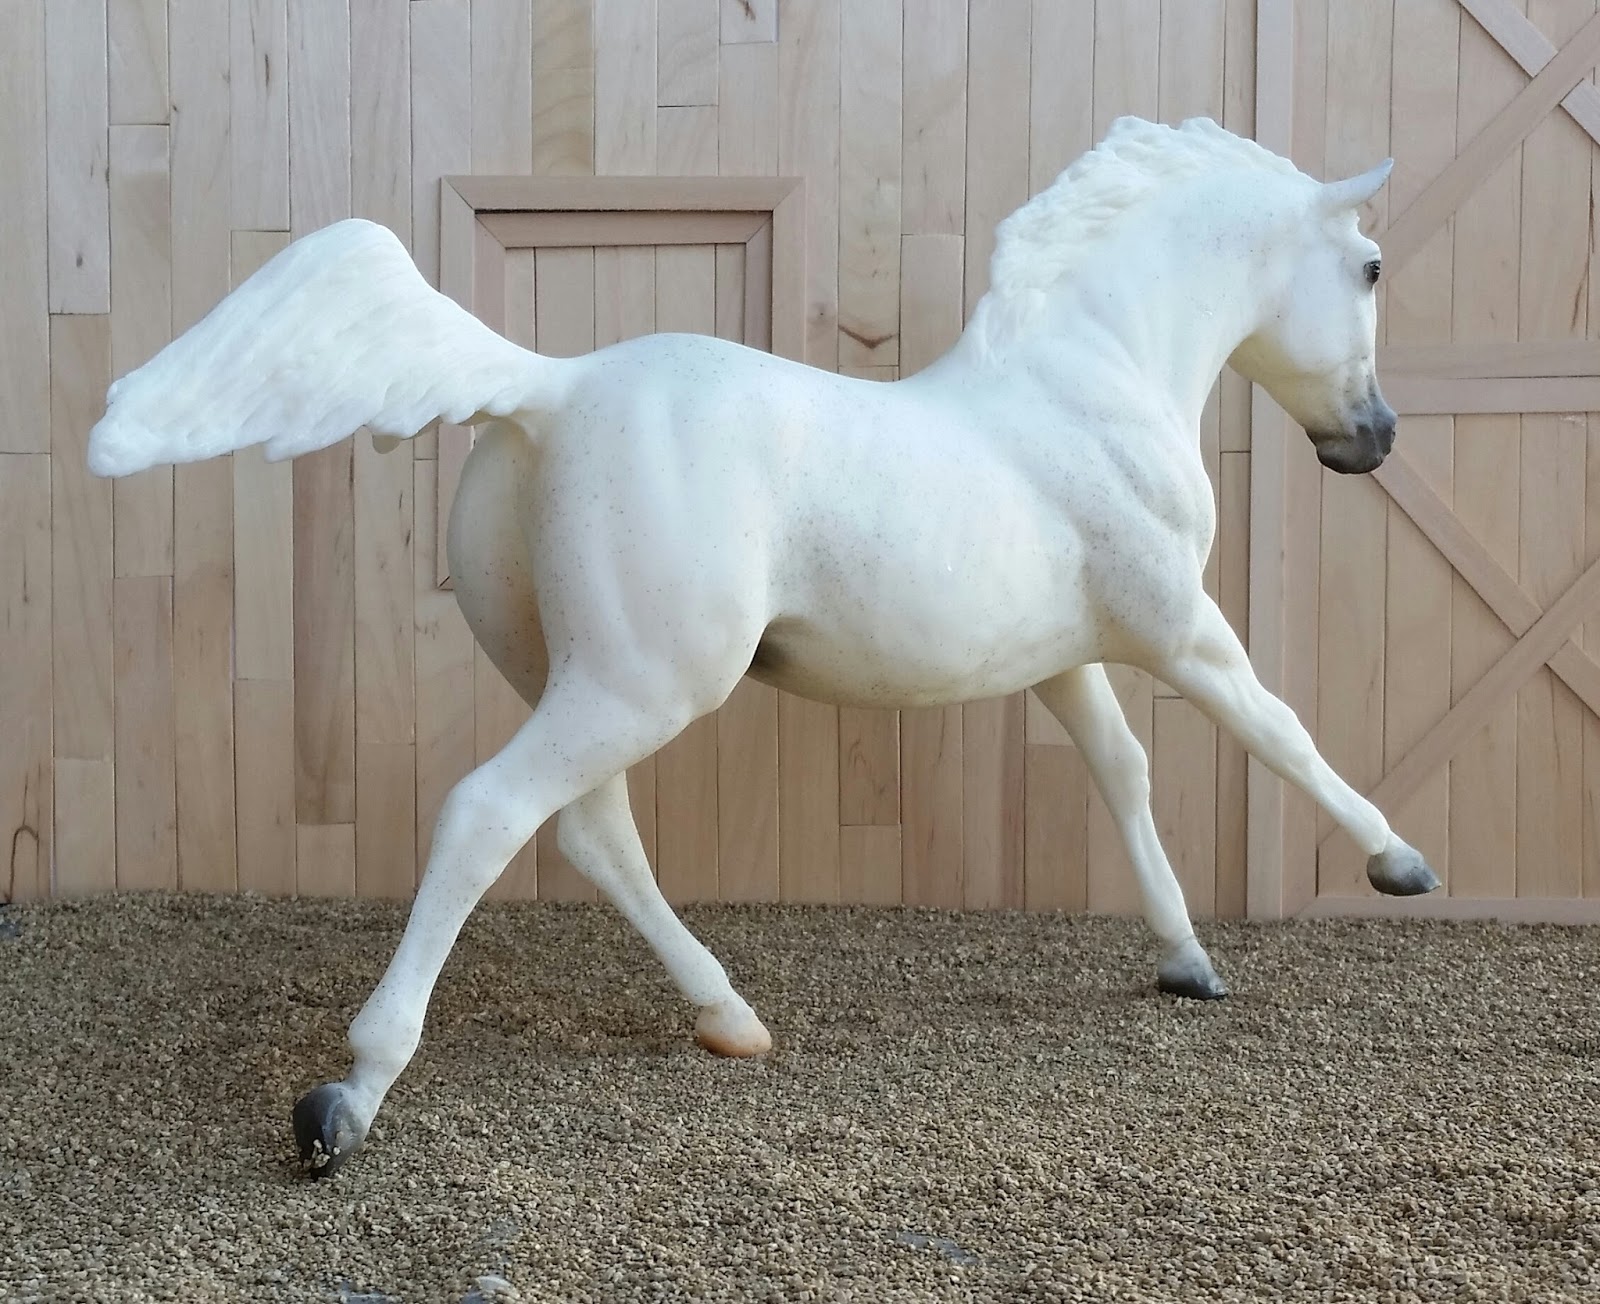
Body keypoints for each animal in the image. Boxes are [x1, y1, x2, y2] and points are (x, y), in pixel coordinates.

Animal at [89, 116, 1436, 1178]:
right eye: (1369, 264)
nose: (1372, 438)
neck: (1092, 382)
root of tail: (547, 395)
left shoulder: (1066, 655)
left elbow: (1126, 773)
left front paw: (1186, 958)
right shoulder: (1176, 626)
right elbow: (1279, 727)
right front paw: (1397, 865)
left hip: (582, 675)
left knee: (590, 830)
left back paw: (729, 1017)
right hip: (641, 683)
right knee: (486, 813)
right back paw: (349, 1097)